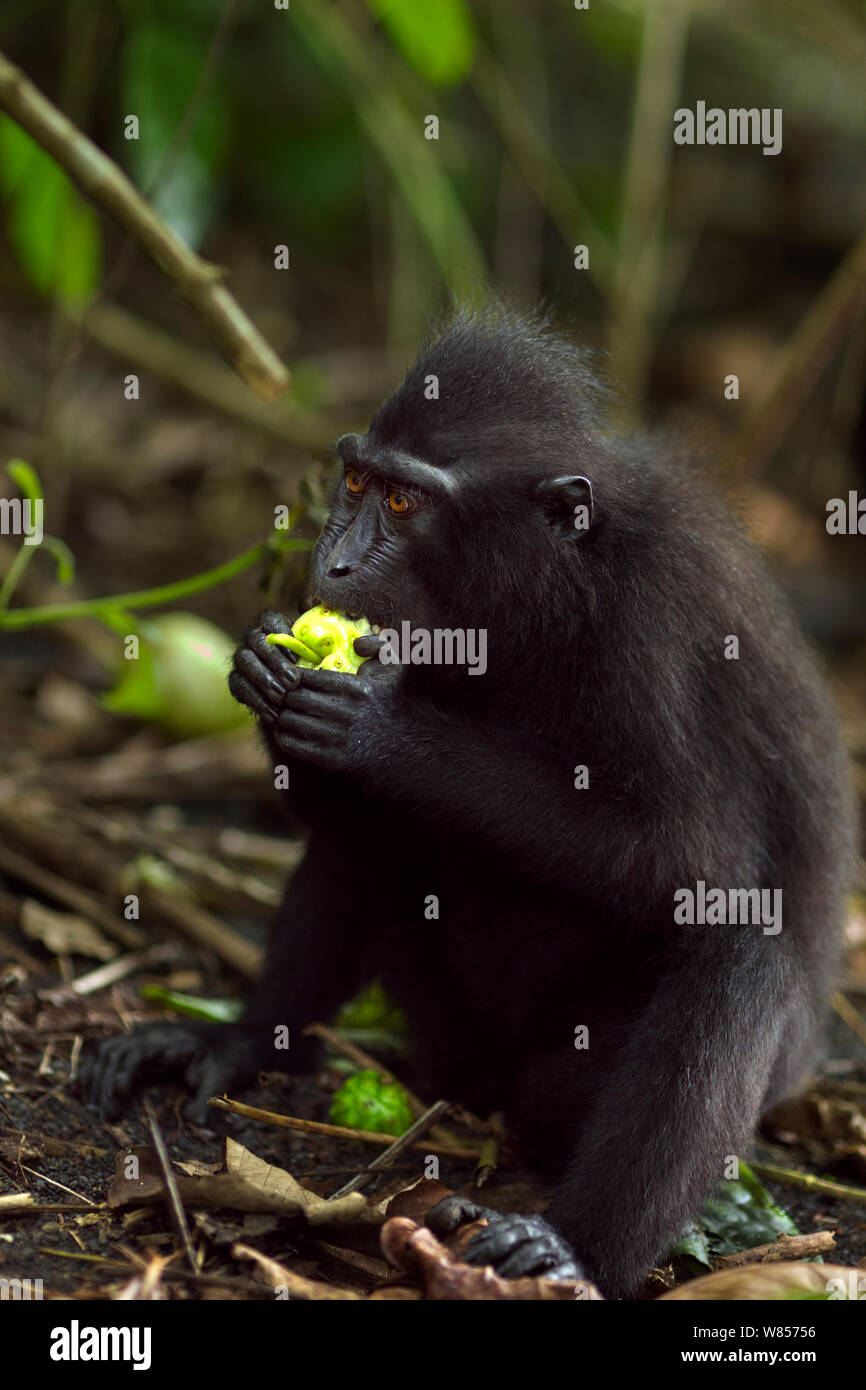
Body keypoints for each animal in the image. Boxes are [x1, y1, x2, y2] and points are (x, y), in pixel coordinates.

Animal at [88, 307, 856, 1298]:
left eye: (405, 504)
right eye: (355, 480)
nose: (333, 564)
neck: (549, 589)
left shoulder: (659, 626)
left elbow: (693, 858)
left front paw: (385, 731)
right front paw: (266, 669)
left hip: (580, 1076)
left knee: (737, 949)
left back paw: (574, 1245)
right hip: (444, 1022)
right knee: (363, 843)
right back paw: (245, 1045)